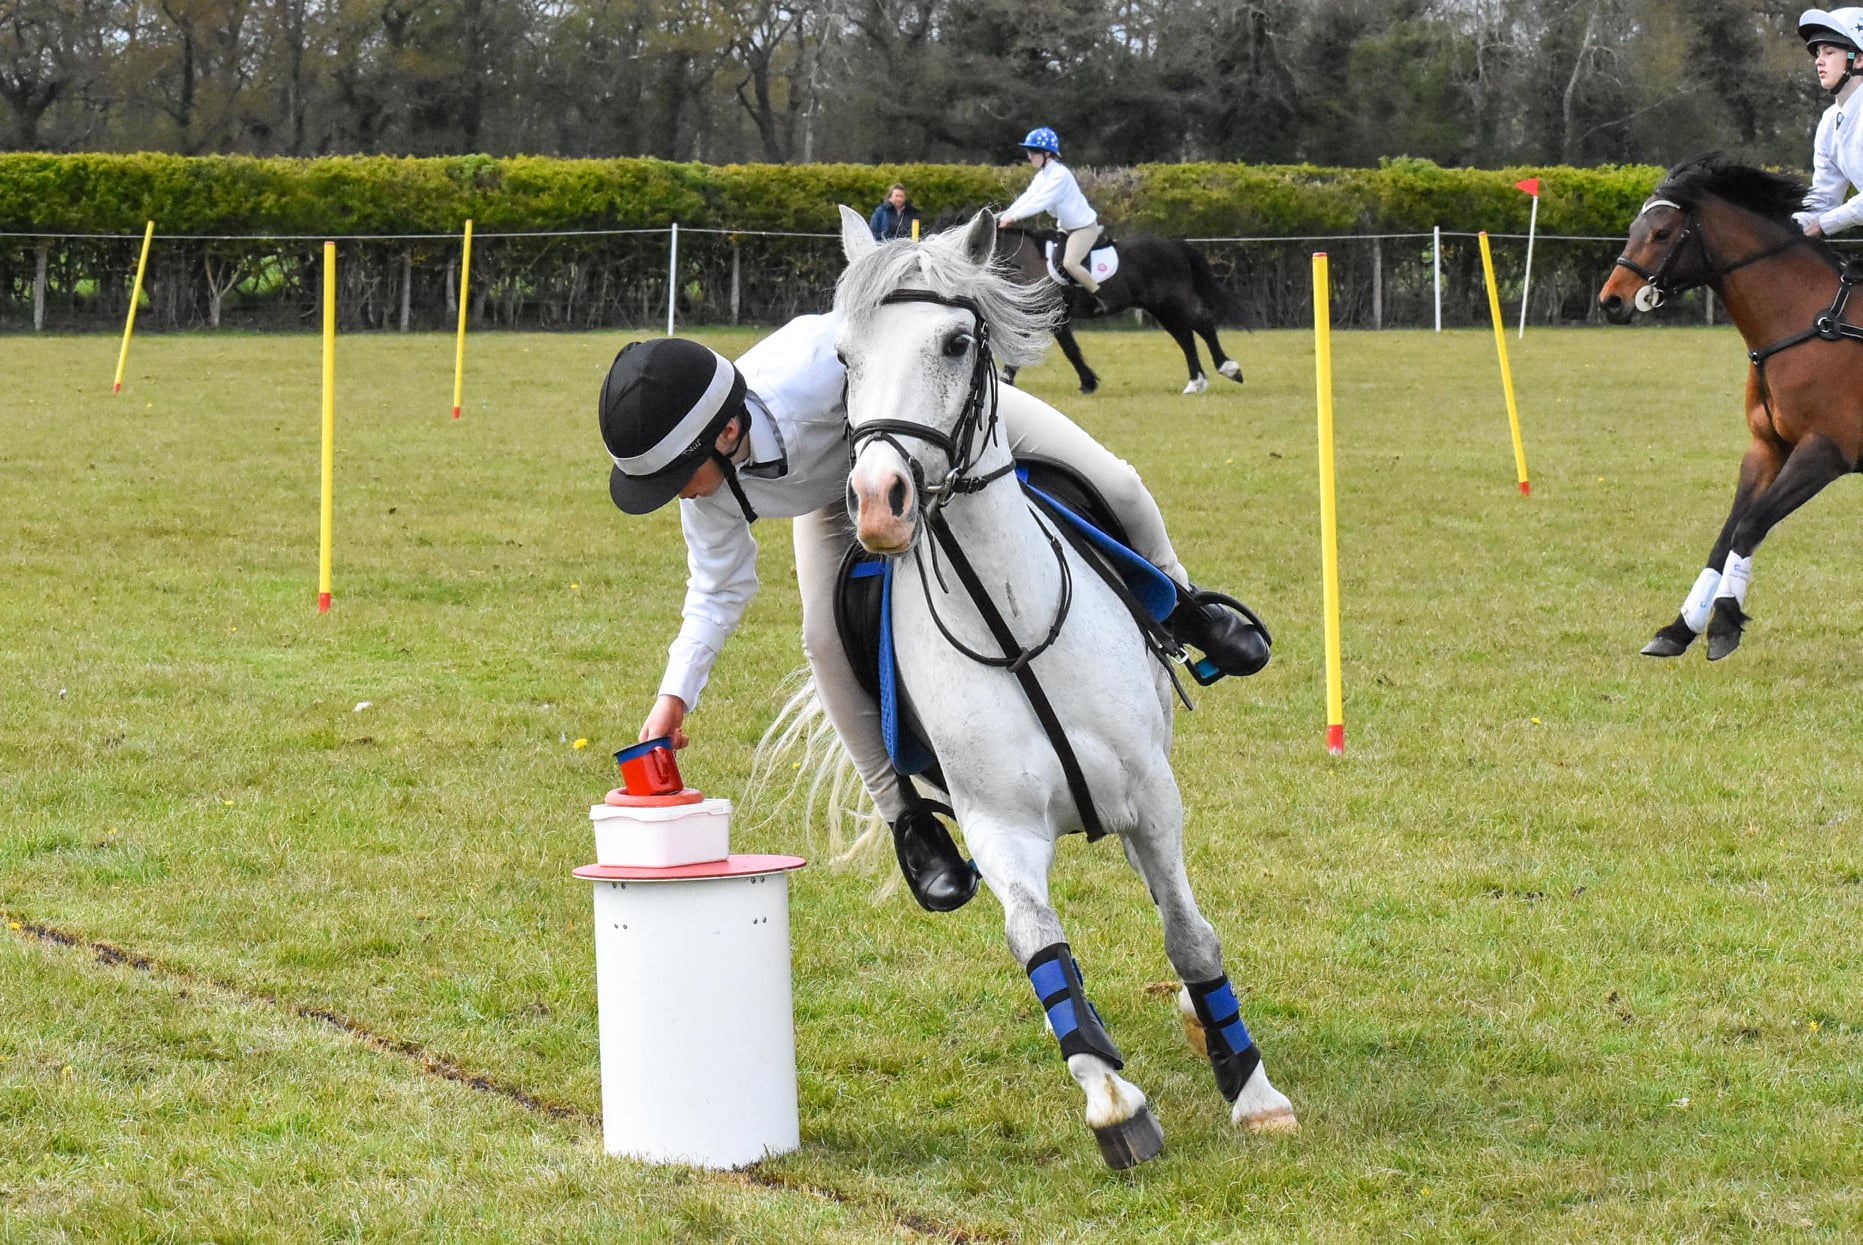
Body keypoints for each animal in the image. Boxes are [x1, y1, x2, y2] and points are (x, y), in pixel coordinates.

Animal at [985, 223, 1246, 396]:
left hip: (1174, 300)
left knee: (1202, 325)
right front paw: (1088, 382)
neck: (1024, 258)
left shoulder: (1048, 314)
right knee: (1185, 337)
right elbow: (1063, 348)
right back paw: (1195, 382)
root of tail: (1173, 245)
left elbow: (1066, 350)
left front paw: (1088, 383)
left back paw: (1229, 369)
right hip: (1161, 308)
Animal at [1598, 152, 1863, 661]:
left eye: (1662, 233)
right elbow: (1727, 535)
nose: (1611, 301)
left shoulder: (1824, 452)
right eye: (1634, 228)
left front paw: (1723, 623)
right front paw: (1681, 627)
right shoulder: (1766, 448)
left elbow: (1749, 527)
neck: (1809, 321)